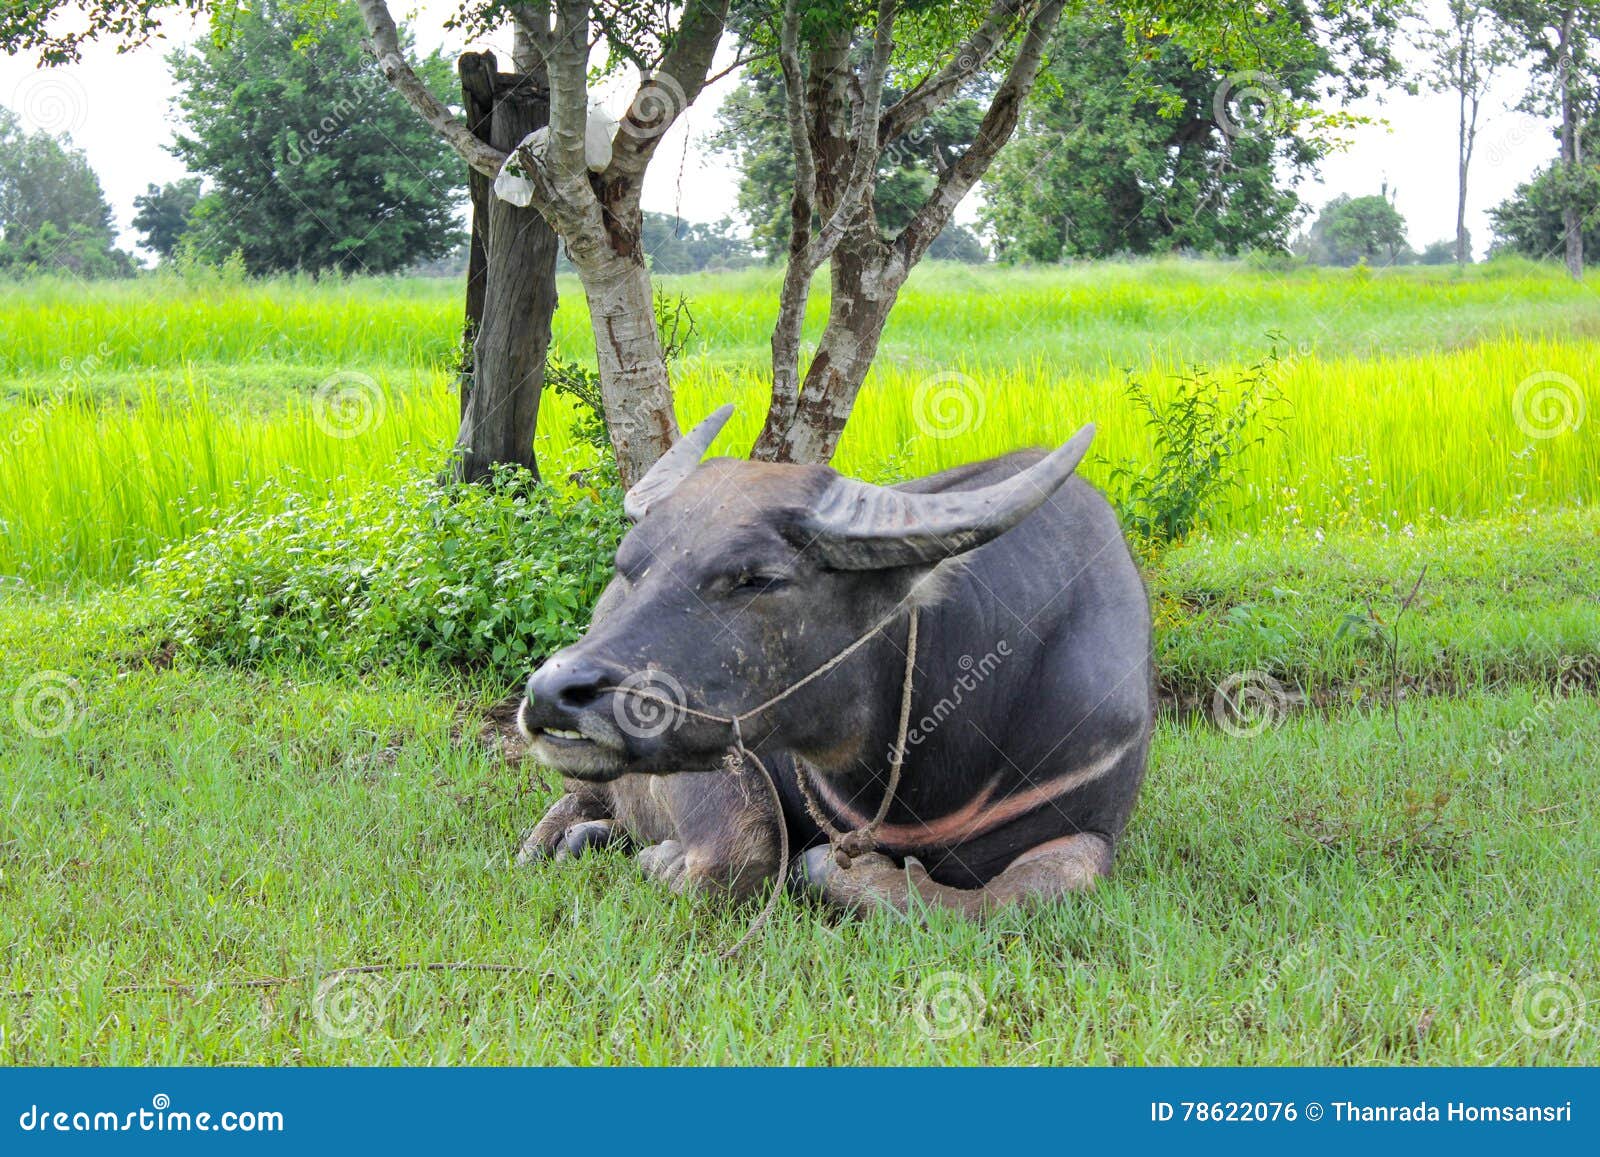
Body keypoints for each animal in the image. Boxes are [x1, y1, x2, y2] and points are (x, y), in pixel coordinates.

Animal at [516, 405, 1152, 917]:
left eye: (758, 578)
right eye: (631, 565)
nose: (552, 692)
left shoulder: (1091, 822)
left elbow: (1035, 890)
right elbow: (745, 854)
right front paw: (662, 860)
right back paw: (558, 839)